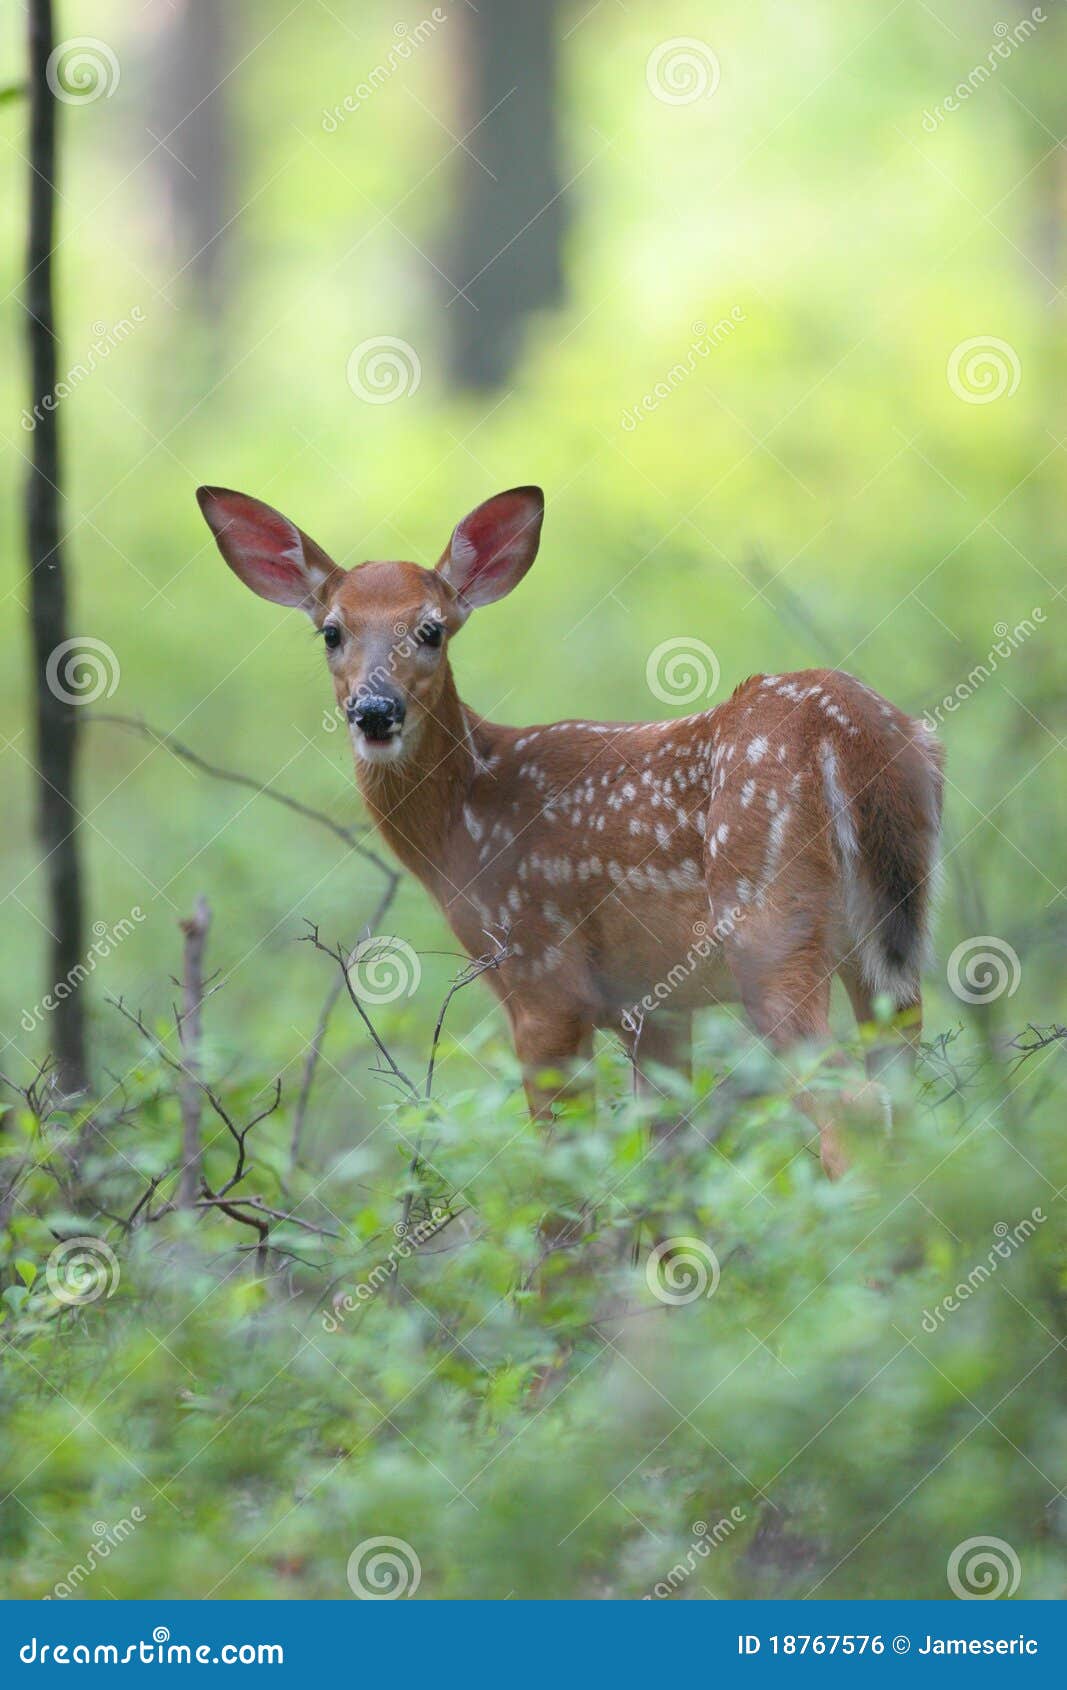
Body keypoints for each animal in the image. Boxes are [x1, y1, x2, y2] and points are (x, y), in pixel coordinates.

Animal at [197, 483, 943, 1178]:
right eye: (331, 631)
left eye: (432, 630)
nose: (375, 711)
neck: (465, 821)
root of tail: (851, 732)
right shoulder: (651, 1006)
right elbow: (662, 1166)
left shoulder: (542, 973)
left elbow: (562, 1173)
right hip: (890, 938)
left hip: (765, 914)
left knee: (850, 1106)